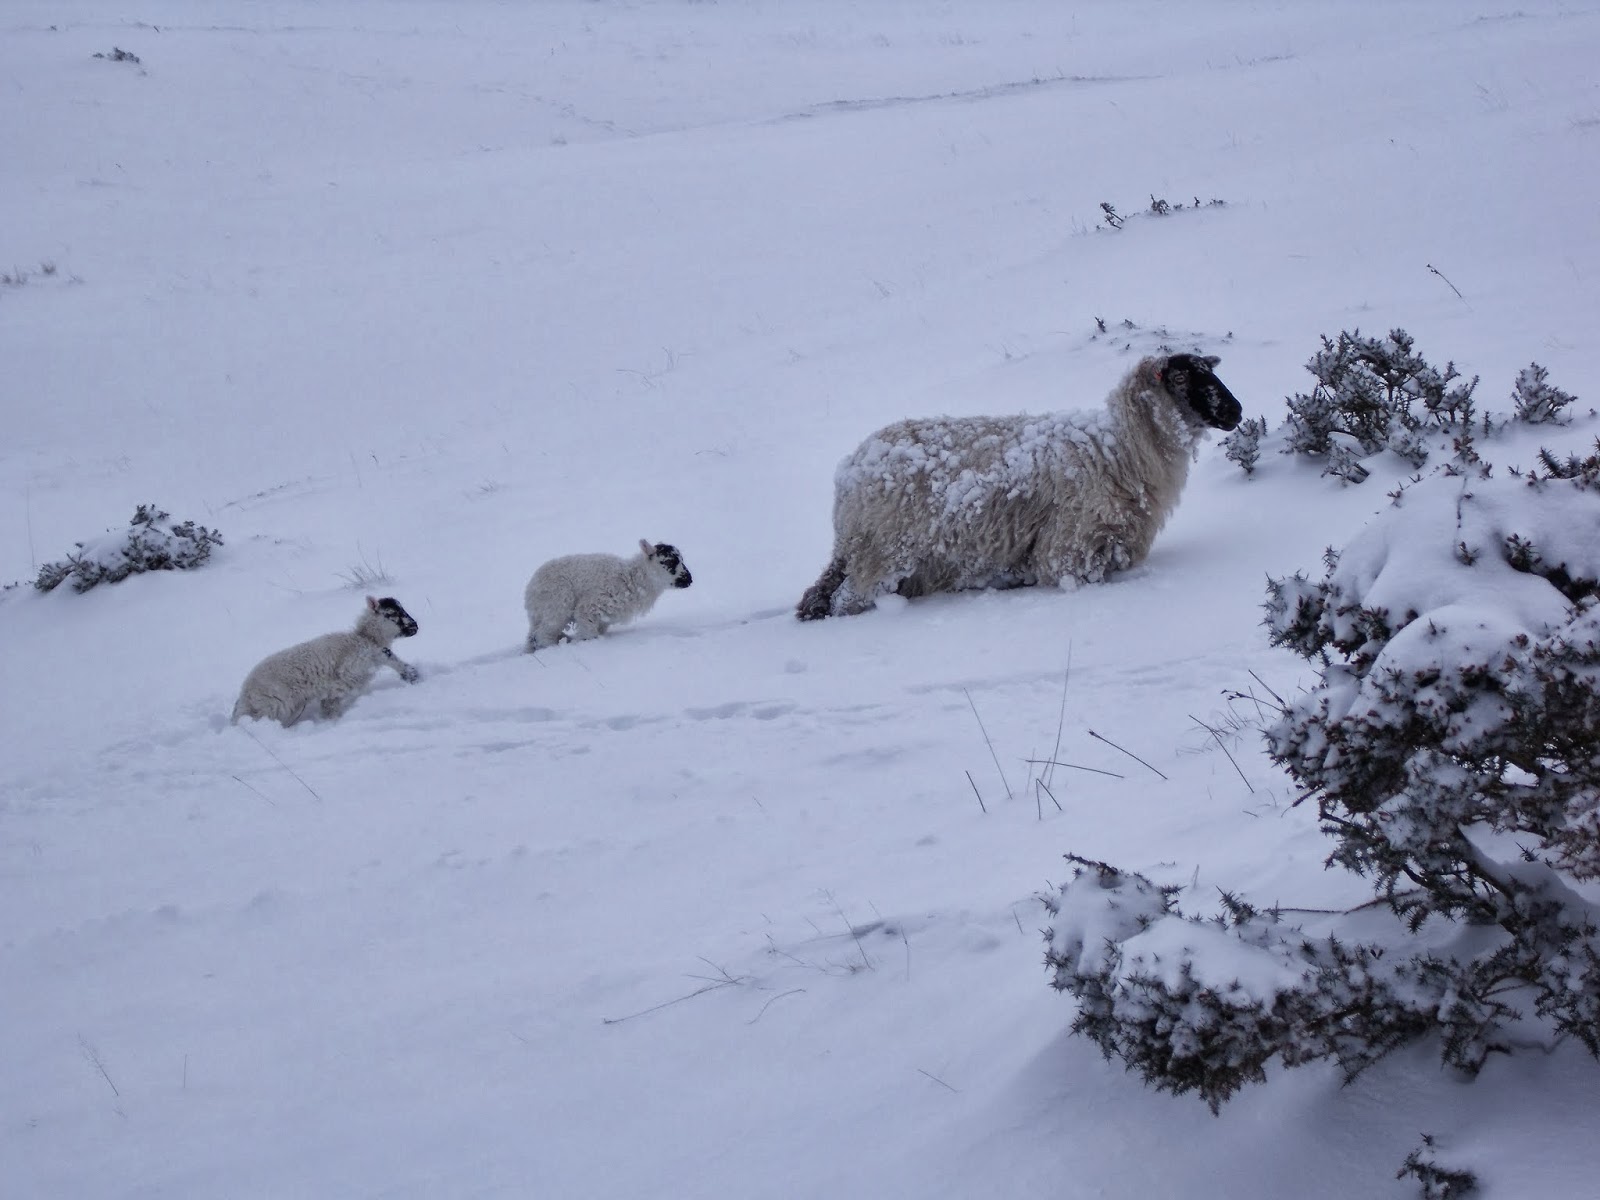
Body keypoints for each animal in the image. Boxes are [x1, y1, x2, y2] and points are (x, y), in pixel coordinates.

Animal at [231, 595, 421, 726]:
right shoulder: (345, 676)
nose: (415, 626)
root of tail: (245, 693)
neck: (365, 639)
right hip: (271, 706)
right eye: (392, 613)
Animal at [524, 539, 693, 651]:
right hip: (557, 604)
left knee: (532, 637)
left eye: (681, 560)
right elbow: (588, 632)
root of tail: (530, 591)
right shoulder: (590, 606)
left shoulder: (604, 619)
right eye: (670, 561)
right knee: (543, 635)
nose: (689, 579)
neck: (634, 579)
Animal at [796, 353, 1243, 619]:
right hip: (885, 550)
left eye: (1211, 370)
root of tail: (850, 472)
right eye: (1182, 376)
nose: (1236, 410)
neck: (1121, 447)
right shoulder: (1069, 546)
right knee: (847, 598)